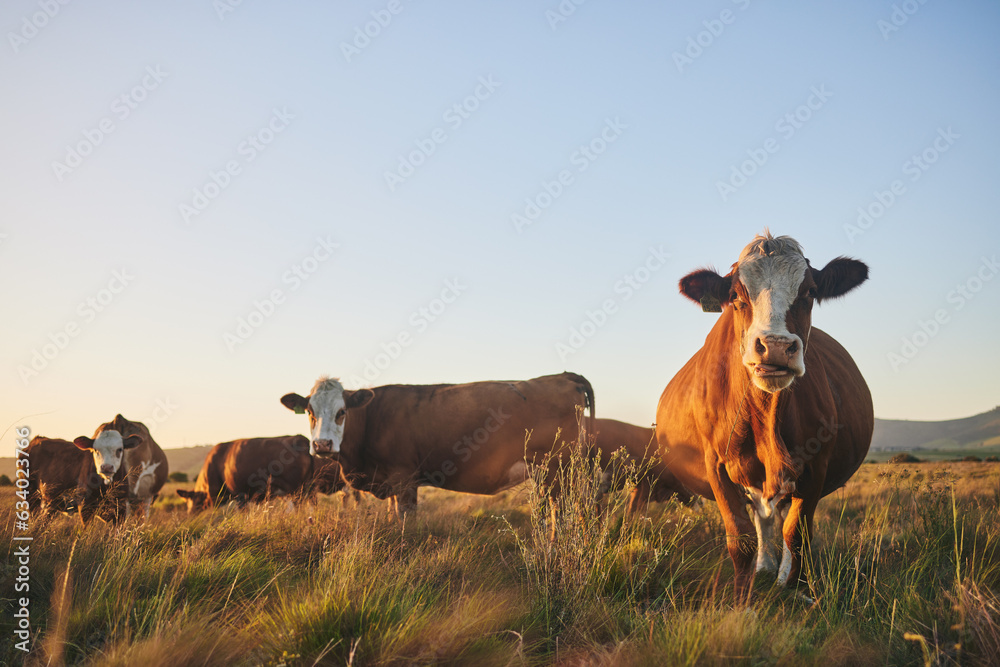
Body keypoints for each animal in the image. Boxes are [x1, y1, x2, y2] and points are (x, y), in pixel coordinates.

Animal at [175, 435, 354, 513]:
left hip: (298, 491)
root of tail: (301, 439)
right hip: (307, 489)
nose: (190, 516)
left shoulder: (240, 495)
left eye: (193, 504)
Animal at [279, 372, 595, 517]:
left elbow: (405, 519)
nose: (322, 444)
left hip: (560, 471)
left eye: (342, 411)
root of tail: (563, 376)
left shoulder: (404, 478)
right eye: (310, 412)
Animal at [654, 231, 873, 601]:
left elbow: (797, 534)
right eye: (734, 296)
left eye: (810, 291)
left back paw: (780, 571)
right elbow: (740, 538)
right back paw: (765, 566)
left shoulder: (814, 466)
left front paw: (798, 590)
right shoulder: (717, 465)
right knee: (763, 517)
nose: (775, 346)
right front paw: (741, 599)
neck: (764, 417)